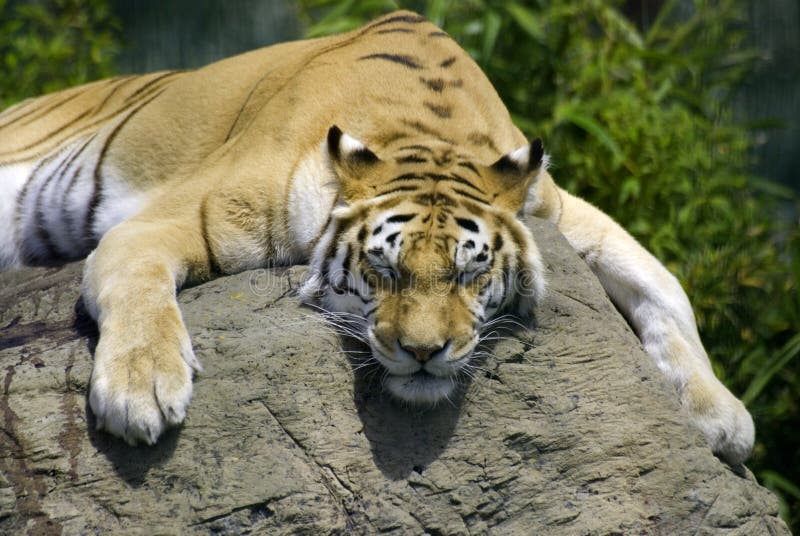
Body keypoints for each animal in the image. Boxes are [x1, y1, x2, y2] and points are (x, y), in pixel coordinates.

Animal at [0, 11, 754, 464]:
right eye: (383, 269)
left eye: (470, 272)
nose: (424, 353)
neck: (431, 134)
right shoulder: (180, 213)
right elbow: (138, 281)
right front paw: (141, 391)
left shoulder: (554, 204)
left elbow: (663, 282)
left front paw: (720, 415)